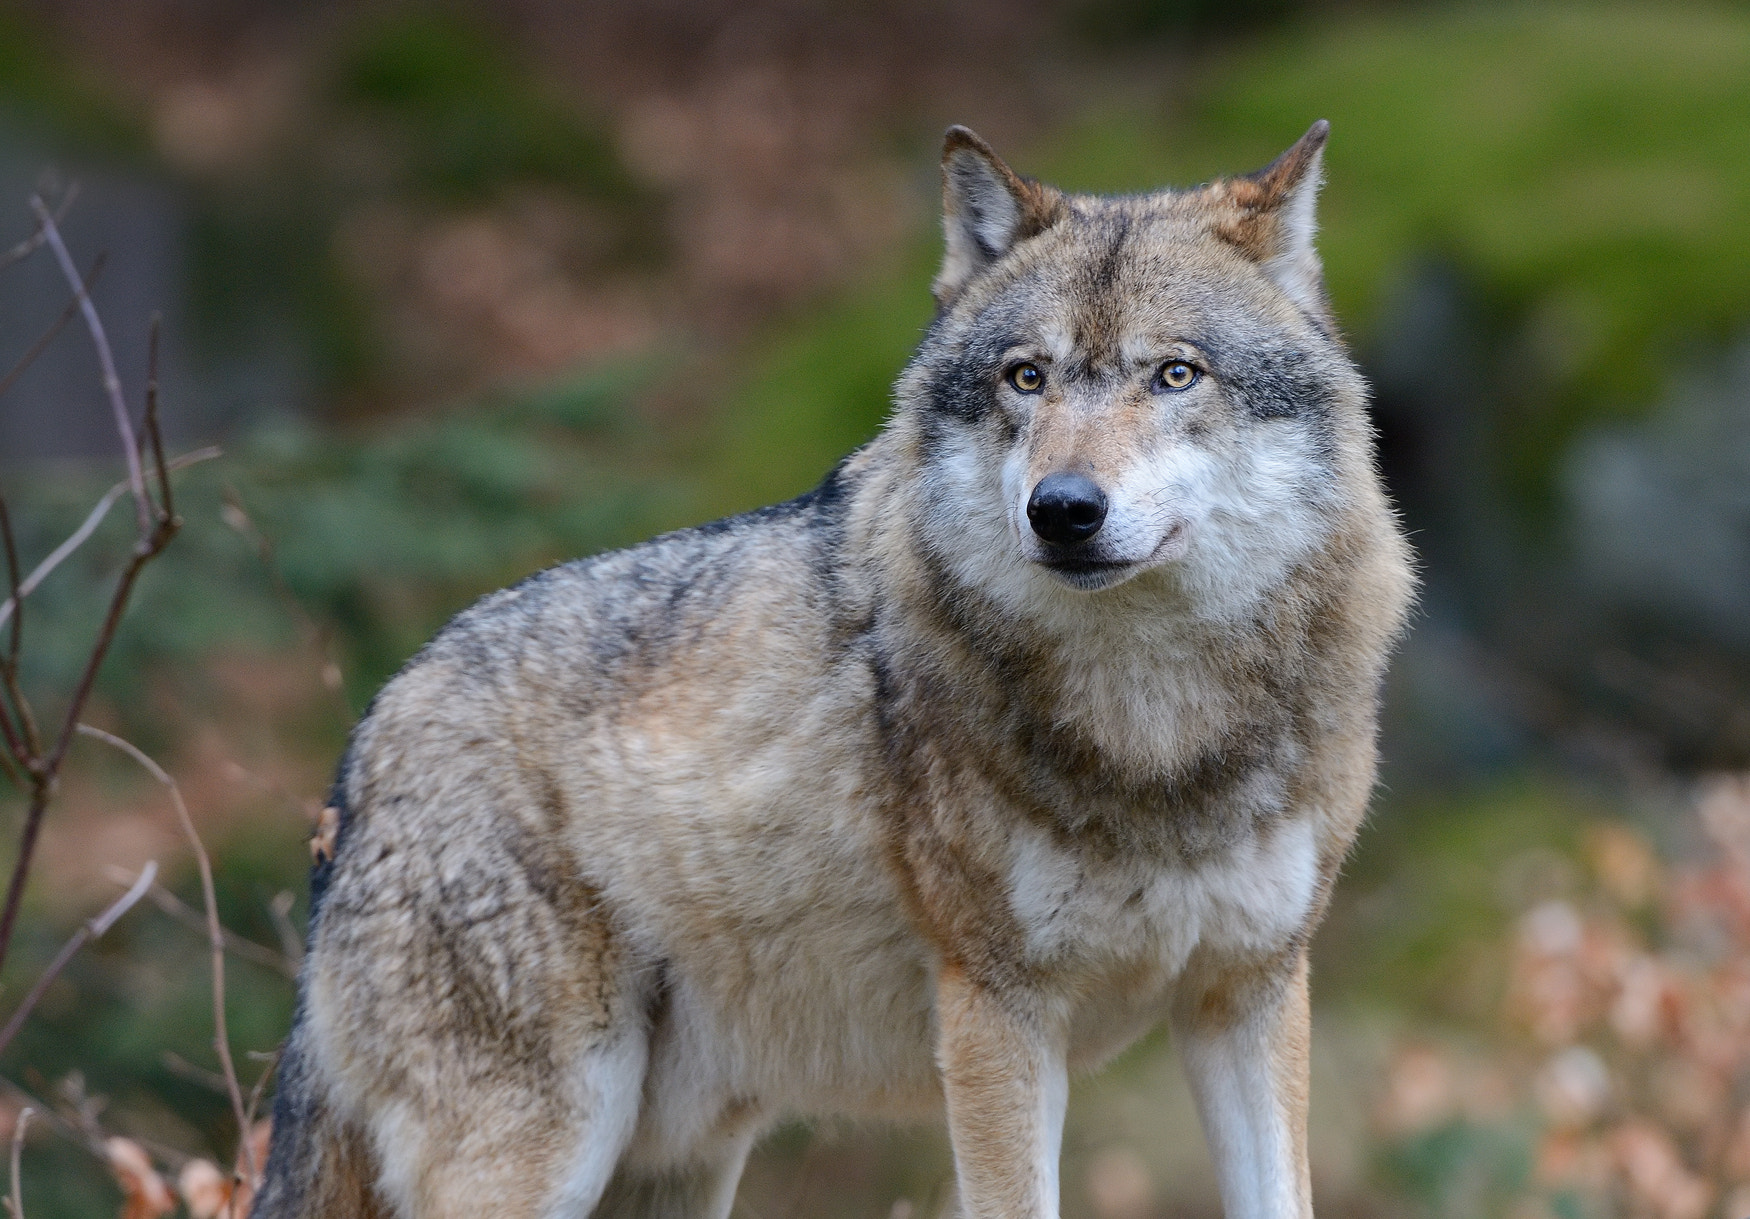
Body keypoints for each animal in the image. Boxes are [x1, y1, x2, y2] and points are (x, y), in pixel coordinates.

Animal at [253, 116, 1414, 1217]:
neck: (1155, 727)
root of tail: (360, 752)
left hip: (673, 1162)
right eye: (1025, 377)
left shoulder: (1249, 993)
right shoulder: (996, 1010)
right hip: (546, 1148)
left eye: (1175, 373)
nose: (1063, 509)